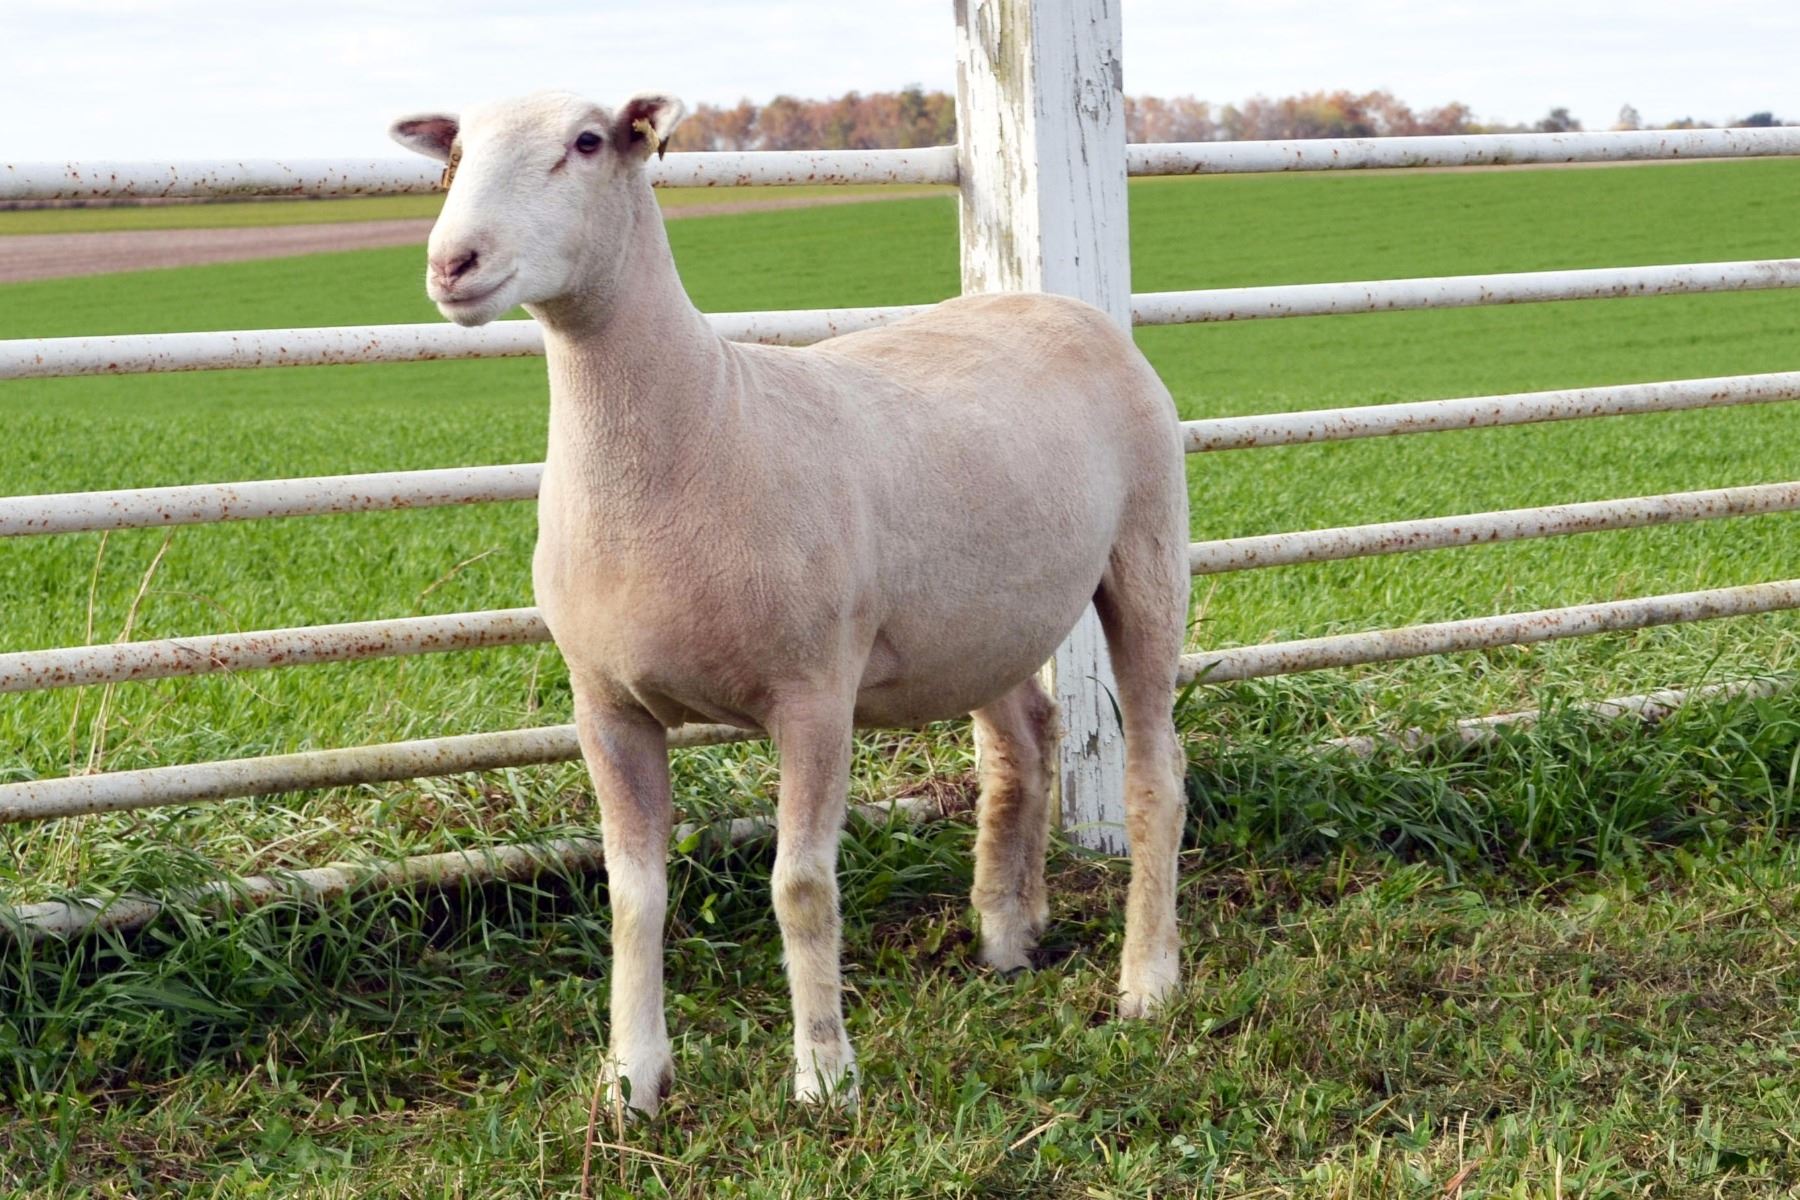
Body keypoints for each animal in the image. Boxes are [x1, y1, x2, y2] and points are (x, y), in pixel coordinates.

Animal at [389, 89, 1190, 1115]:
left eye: (587, 142)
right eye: (454, 157)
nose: (452, 264)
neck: (704, 419)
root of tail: (1059, 302)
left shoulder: (813, 692)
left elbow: (801, 885)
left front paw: (824, 1076)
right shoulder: (605, 707)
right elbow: (632, 896)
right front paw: (631, 1080)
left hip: (1147, 549)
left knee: (1155, 771)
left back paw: (1148, 980)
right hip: (979, 621)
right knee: (1024, 744)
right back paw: (1009, 930)